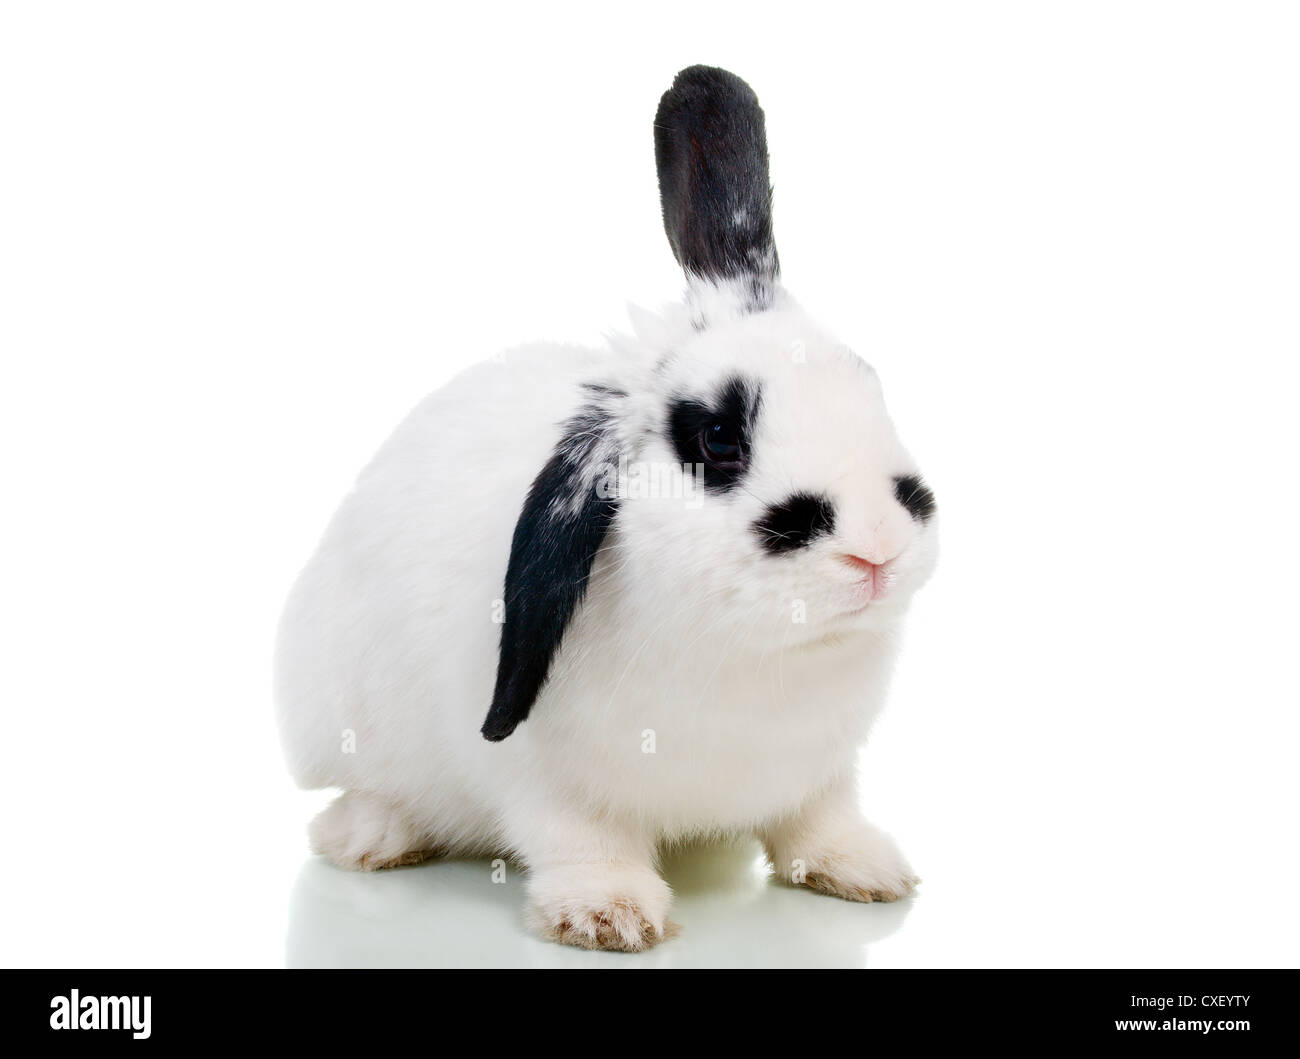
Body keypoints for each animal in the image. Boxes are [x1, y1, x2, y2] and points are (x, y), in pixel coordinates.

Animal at [274, 64, 939, 952]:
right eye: (719, 438)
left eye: (869, 382)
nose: (877, 546)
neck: (766, 656)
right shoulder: (544, 781)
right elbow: (583, 839)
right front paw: (609, 914)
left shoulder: (822, 769)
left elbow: (817, 819)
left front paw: (867, 870)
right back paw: (372, 836)